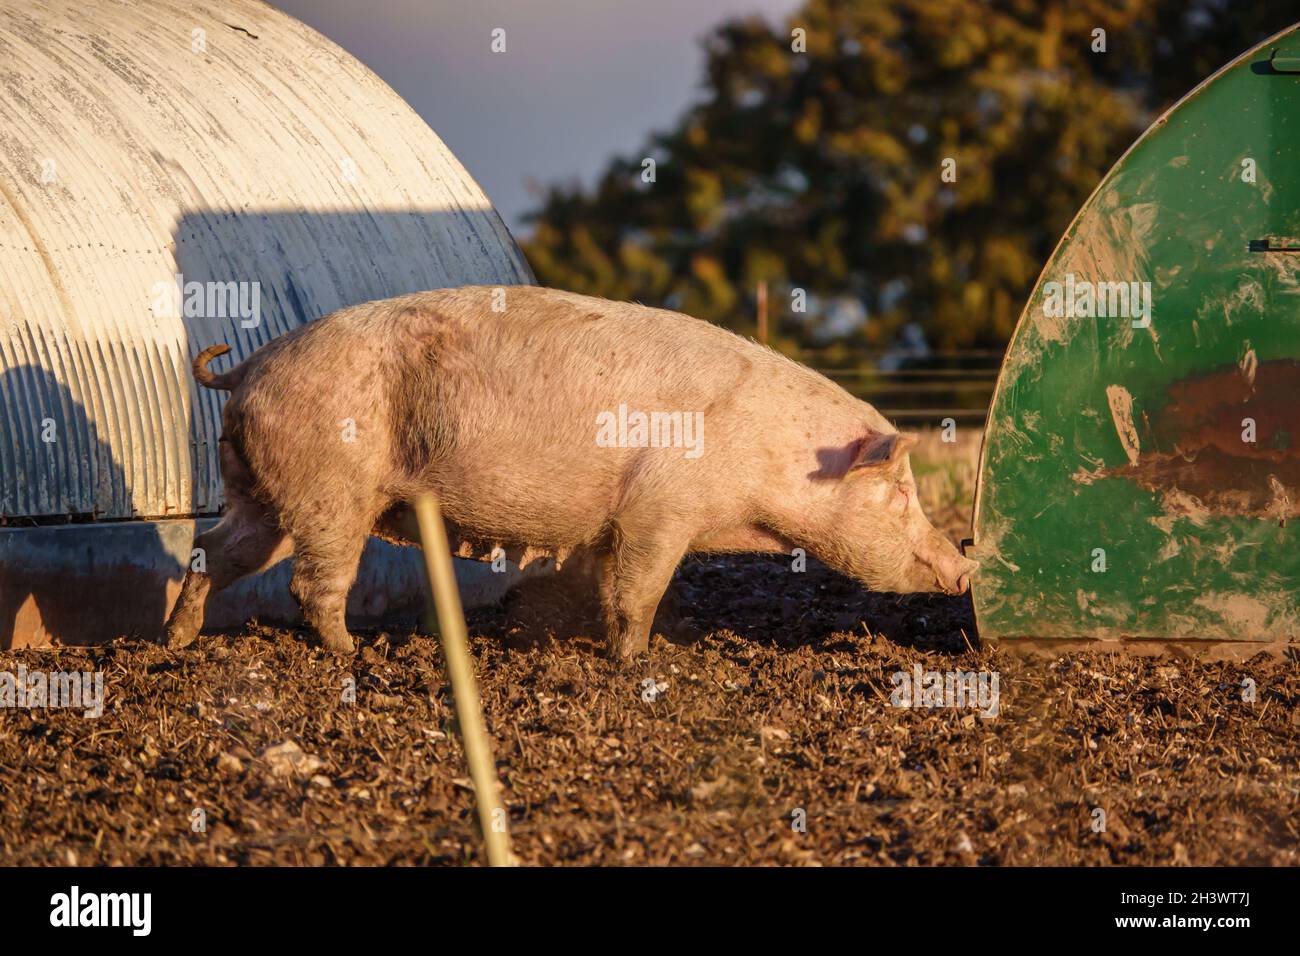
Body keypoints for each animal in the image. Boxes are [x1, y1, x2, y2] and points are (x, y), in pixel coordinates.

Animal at [164, 285, 977, 659]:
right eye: (902, 491)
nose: (964, 564)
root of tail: (247, 369)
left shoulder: (618, 525)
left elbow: (613, 588)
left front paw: (604, 644)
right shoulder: (660, 510)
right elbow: (643, 589)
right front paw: (637, 659)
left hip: (264, 490)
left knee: (215, 550)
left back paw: (176, 642)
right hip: (331, 489)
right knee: (311, 581)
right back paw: (353, 653)